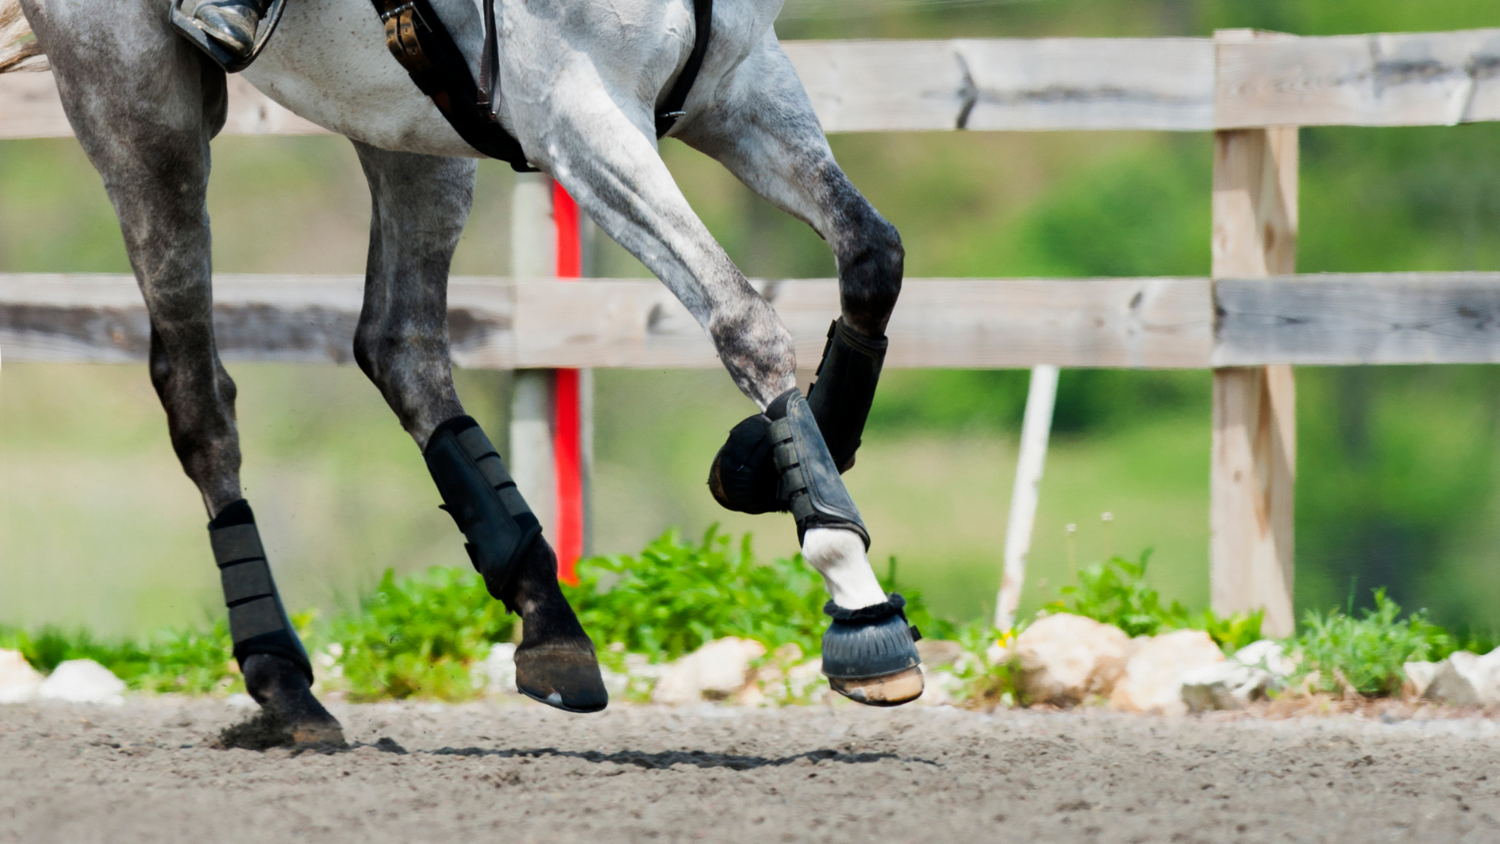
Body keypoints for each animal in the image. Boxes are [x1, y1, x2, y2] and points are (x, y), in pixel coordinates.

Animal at [1, 0, 916, 743]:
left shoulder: (742, 82)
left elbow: (873, 255)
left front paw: (759, 464)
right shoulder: (581, 118)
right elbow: (744, 322)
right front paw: (855, 594)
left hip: (406, 118)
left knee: (400, 348)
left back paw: (550, 625)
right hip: (137, 105)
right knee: (198, 392)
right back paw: (284, 684)